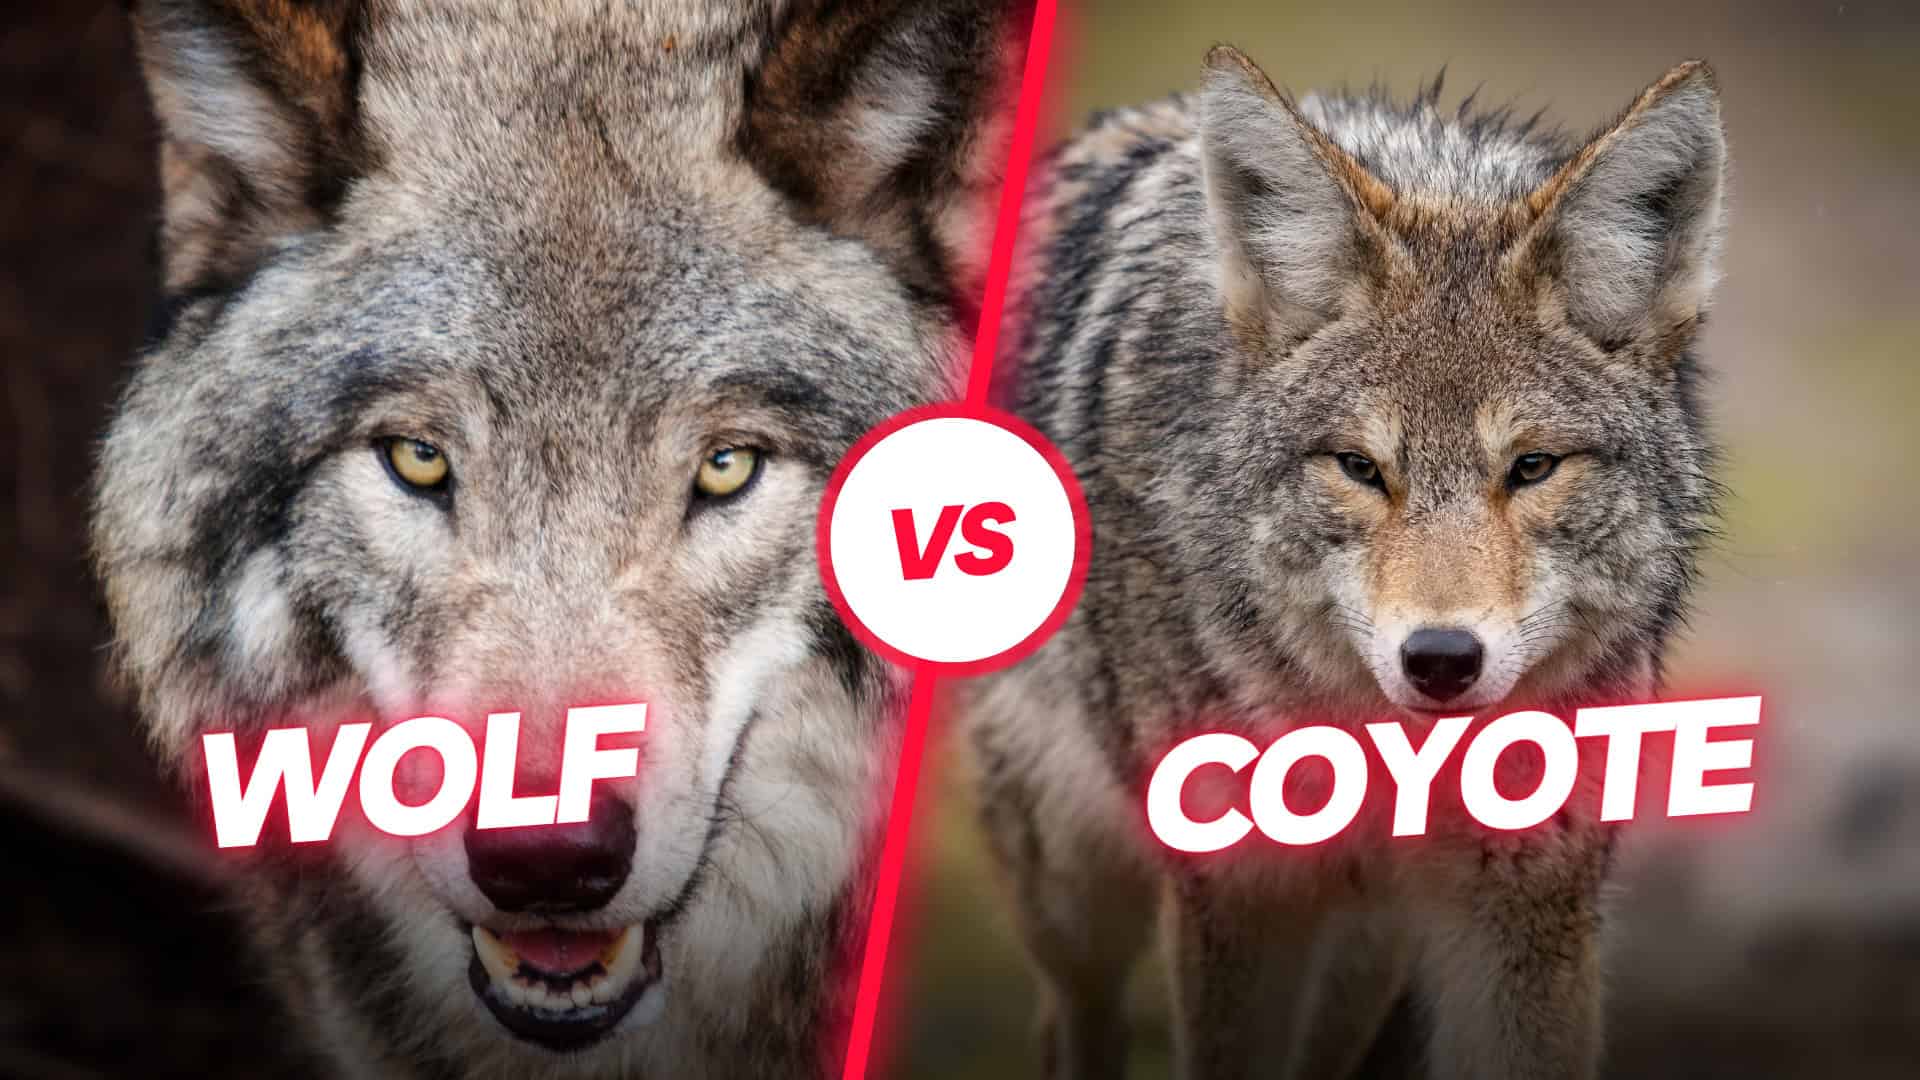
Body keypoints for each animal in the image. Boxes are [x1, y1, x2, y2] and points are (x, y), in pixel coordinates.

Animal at [965, 46, 1726, 1080]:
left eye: (1532, 467)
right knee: (1073, 1019)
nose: (1441, 660)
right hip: (1071, 885)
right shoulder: (1240, 901)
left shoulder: (1529, 915)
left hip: (1366, 951)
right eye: (1360, 468)